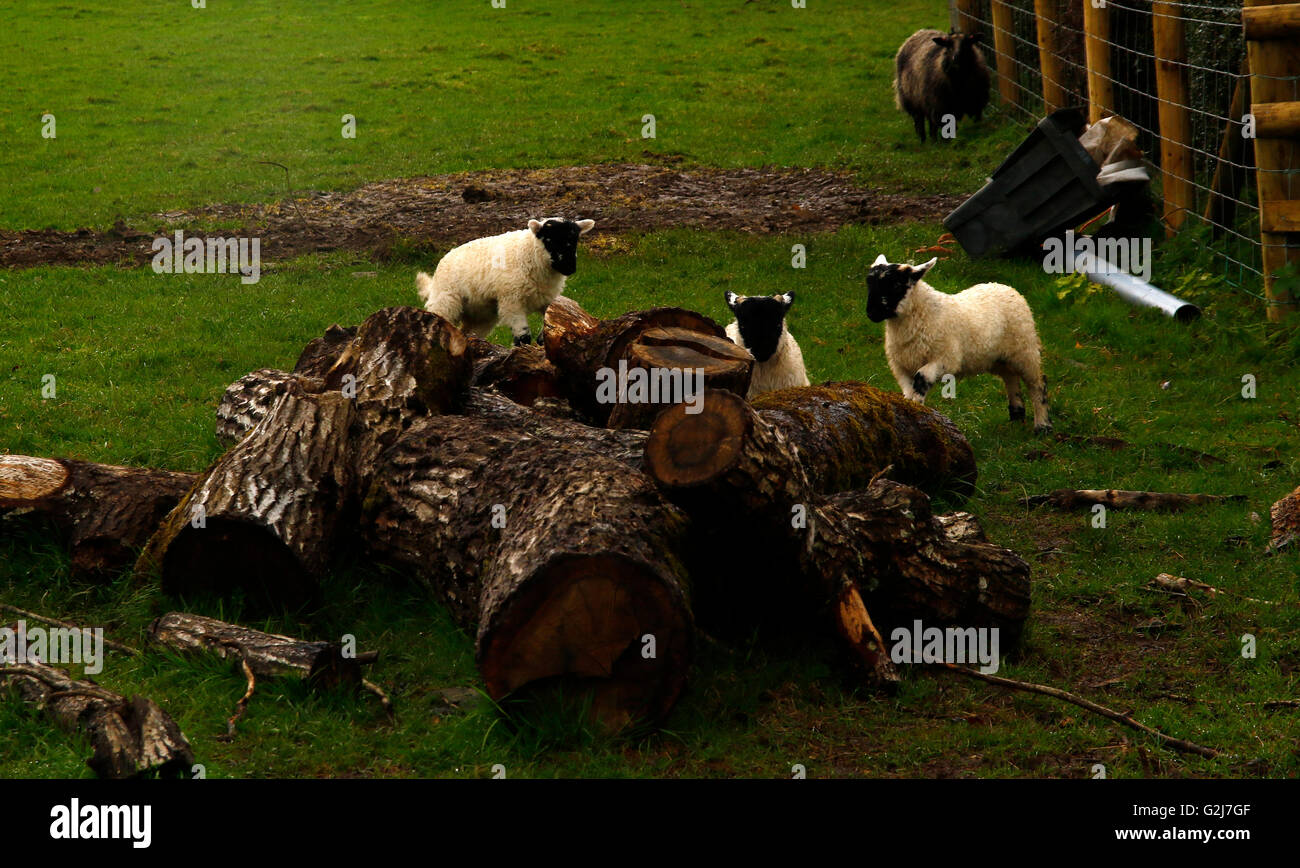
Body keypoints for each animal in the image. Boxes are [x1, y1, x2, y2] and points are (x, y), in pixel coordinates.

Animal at [416, 217, 595, 345]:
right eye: (549, 240)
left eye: (575, 240)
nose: (569, 268)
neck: (529, 254)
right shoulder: (512, 301)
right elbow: (523, 338)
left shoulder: (548, 300)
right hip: (446, 301)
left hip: (482, 315)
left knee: (466, 333)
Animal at [866, 255, 1051, 431]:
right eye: (869, 283)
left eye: (897, 285)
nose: (871, 313)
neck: (923, 314)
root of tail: (1006, 287)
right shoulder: (900, 366)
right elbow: (907, 390)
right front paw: (908, 409)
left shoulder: (947, 359)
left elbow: (921, 377)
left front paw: (917, 407)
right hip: (1000, 357)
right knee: (1011, 379)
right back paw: (1016, 418)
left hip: (1025, 348)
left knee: (1037, 383)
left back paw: (1042, 425)